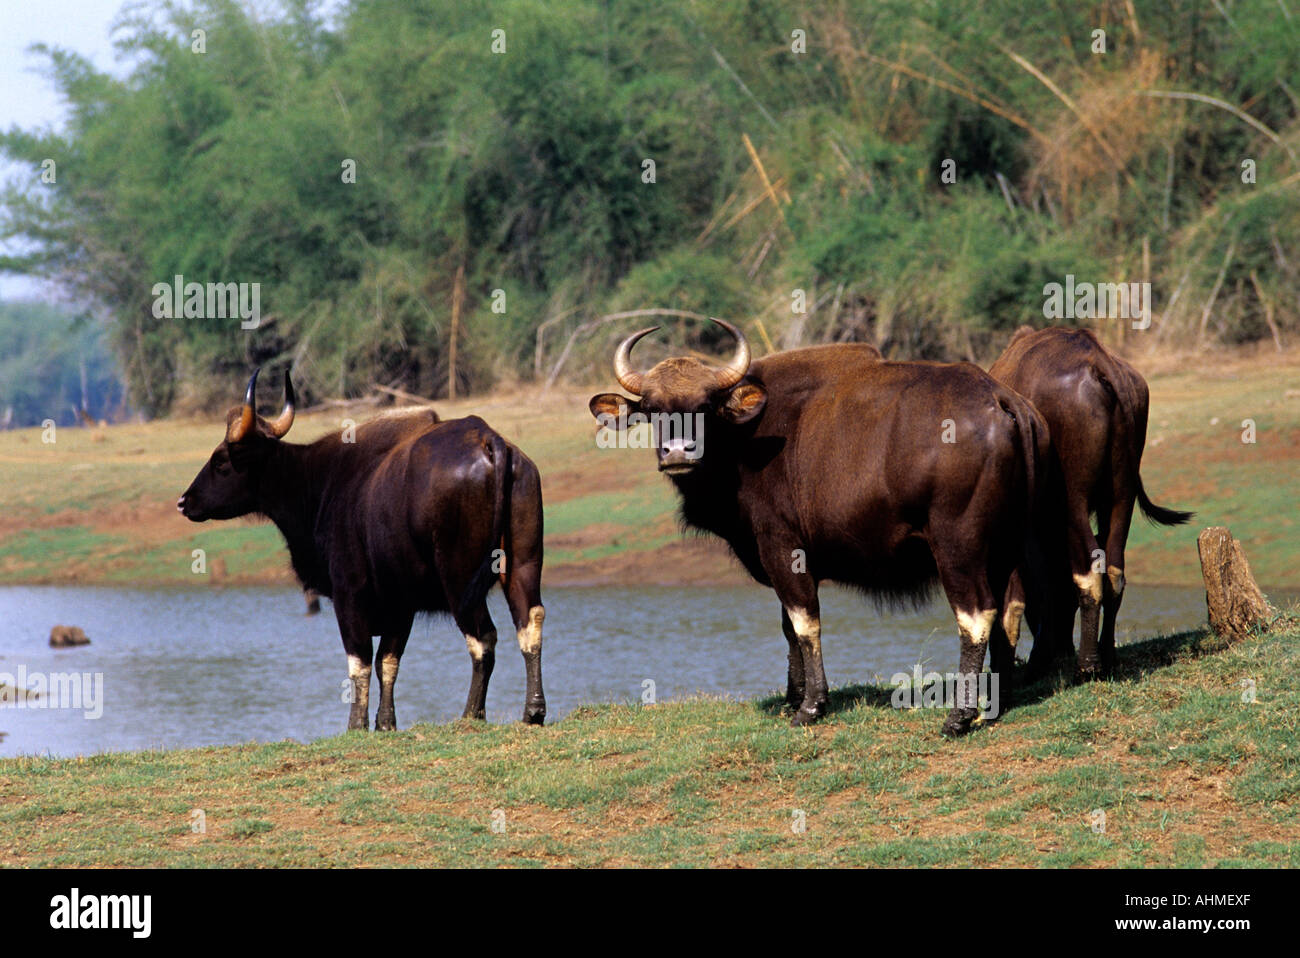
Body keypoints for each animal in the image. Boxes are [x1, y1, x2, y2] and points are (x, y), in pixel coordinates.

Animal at [179, 370, 547, 729]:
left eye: (221, 461)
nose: (184, 501)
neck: (320, 483)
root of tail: (489, 440)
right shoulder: (400, 604)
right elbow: (388, 661)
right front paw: (385, 724)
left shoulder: (350, 597)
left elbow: (361, 663)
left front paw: (356, 725)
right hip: (524, 565)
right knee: (530, 620)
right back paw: (533, 710)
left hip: (459, 581)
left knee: (483, 638)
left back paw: (472, 714)